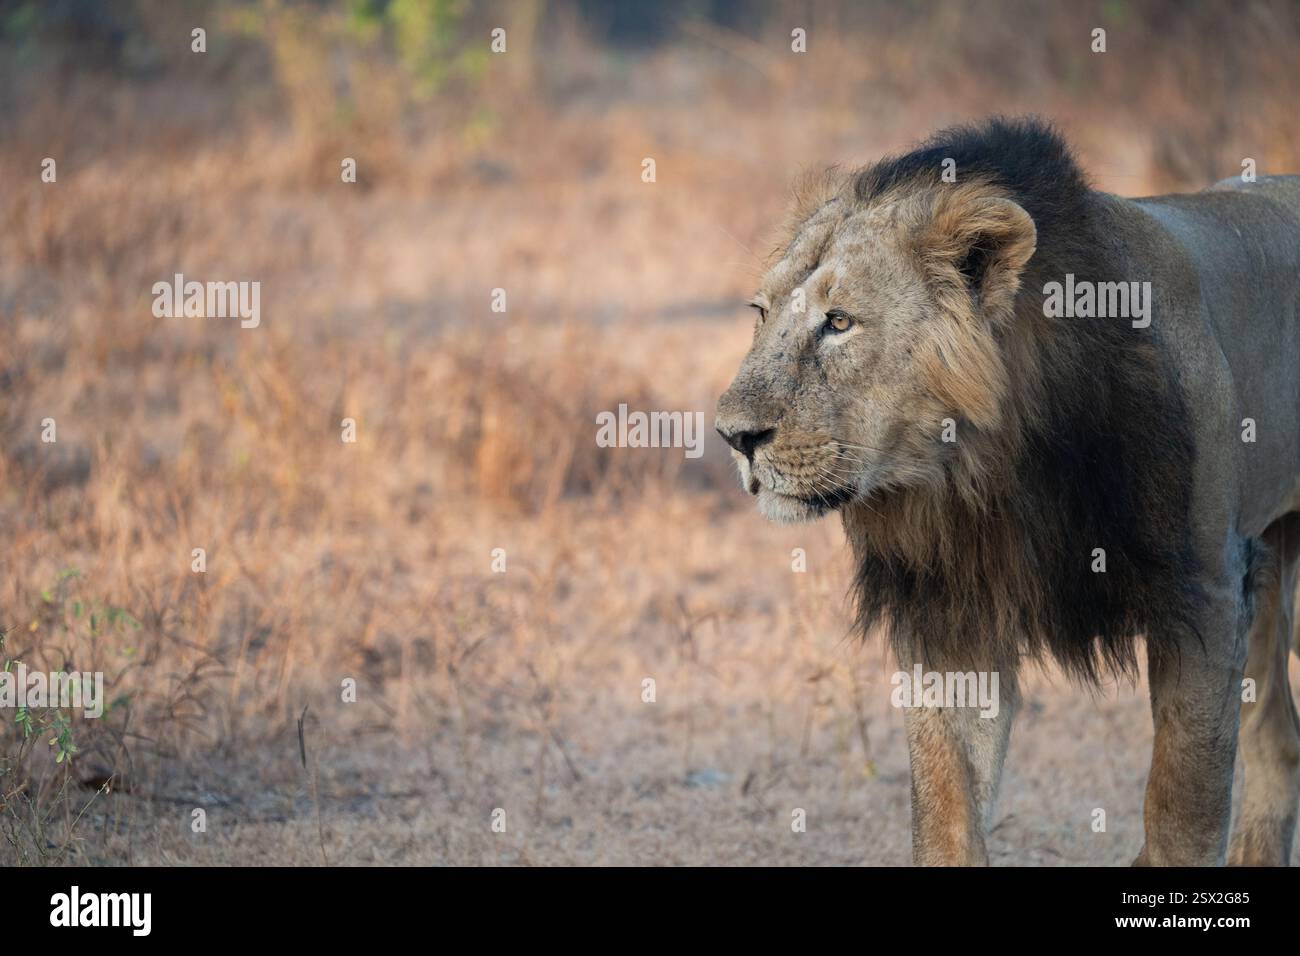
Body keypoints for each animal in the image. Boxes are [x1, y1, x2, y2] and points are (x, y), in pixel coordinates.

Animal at [716, 117, 1300, 866]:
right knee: (1279, 742)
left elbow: (1181, 812)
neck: (985, 470)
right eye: (759, 314)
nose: (733, 435)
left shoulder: (1205, 595)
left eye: (839, 322)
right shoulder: (949, 617)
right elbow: (946, 809)